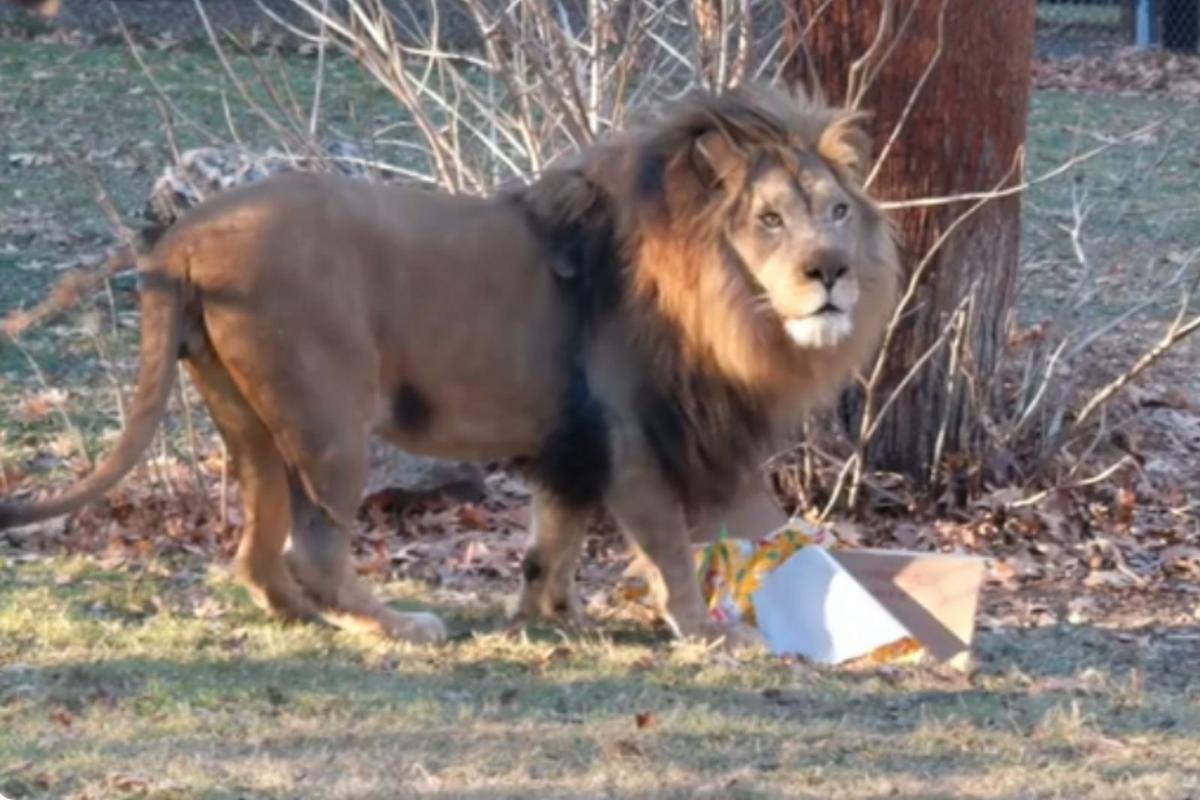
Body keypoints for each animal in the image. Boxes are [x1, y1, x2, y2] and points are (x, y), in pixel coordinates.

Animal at [0, 85, 899, 646]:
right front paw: (708, 632)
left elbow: (553, 538)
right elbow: (668, 549)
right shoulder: (630, 434)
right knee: (314, 550)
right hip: (328, 418)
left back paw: (308, 621)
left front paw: (551, 616)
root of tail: (184, 232)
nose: (831, 271)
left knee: (257, 554)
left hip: (249, 419)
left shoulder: (573, 439)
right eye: (770, 220)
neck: (727, 300)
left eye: (837, 210)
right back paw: (396, 626)